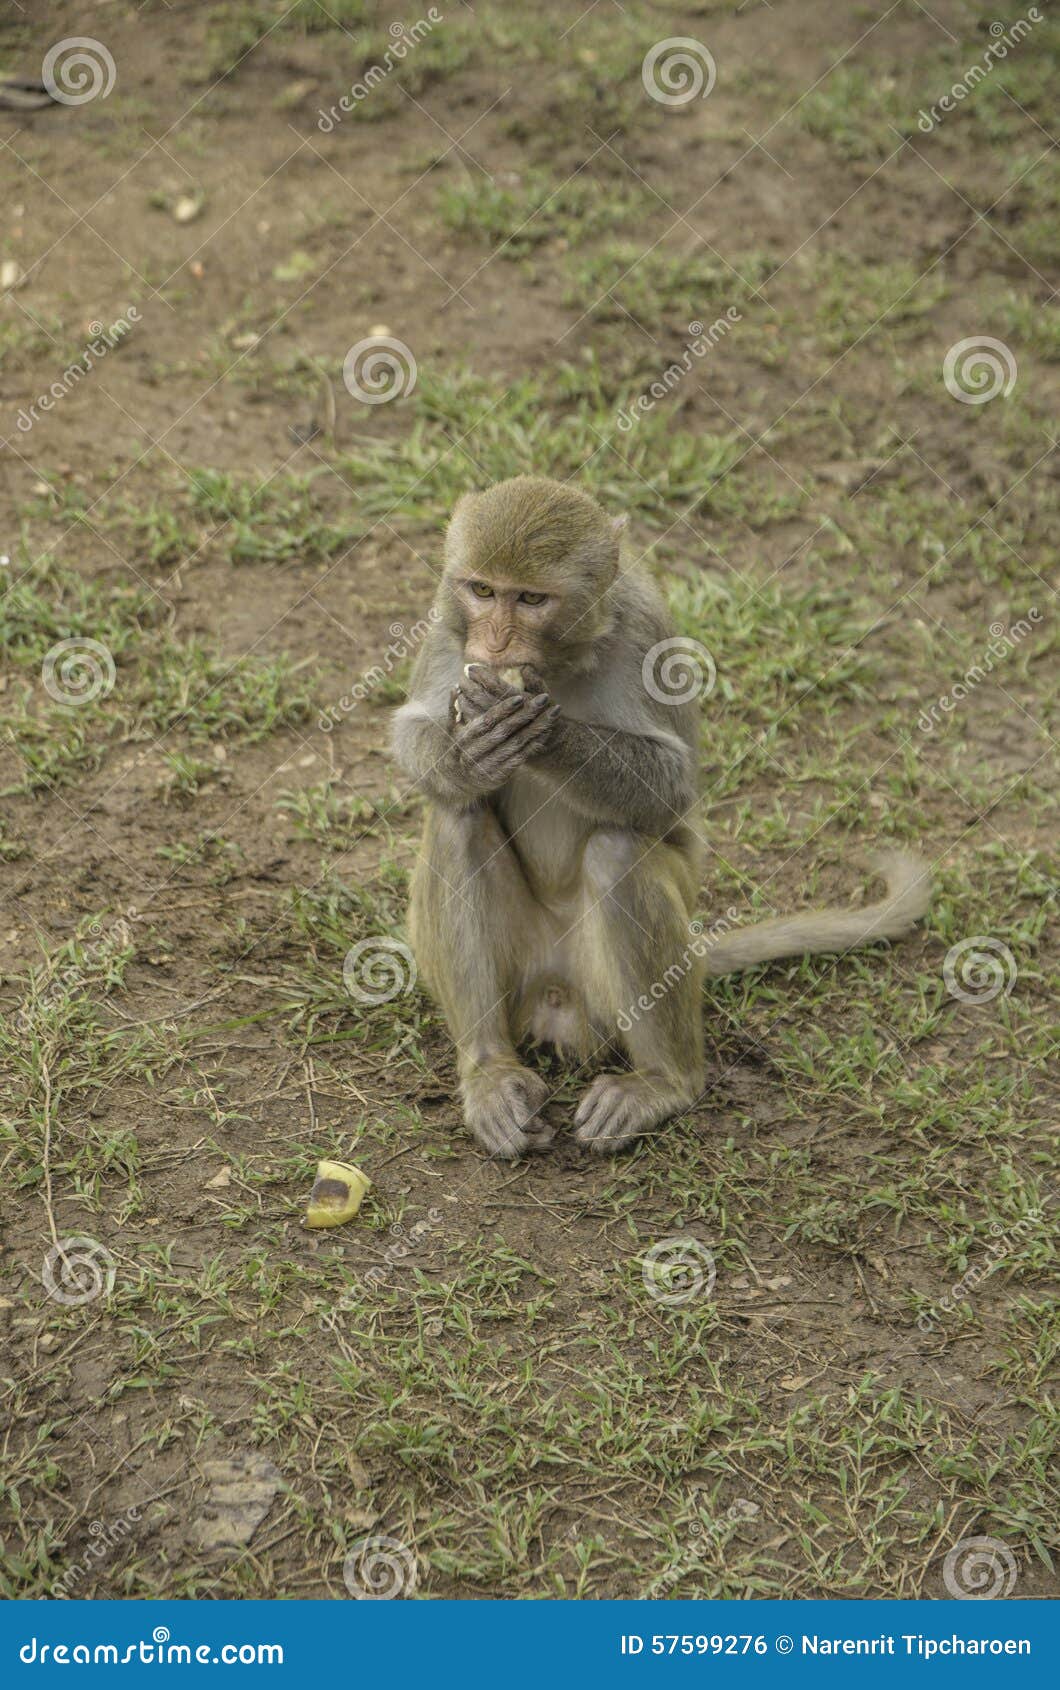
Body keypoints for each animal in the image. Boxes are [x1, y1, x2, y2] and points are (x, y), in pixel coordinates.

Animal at [391, 475, 930, 1160]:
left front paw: (546, 735)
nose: (495, 643)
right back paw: (490, 1069)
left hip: (606, 991)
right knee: (458, 819)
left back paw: (665, 1082)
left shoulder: (647, 631)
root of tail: (554, 998)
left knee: (617, 851)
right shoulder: (447, 622)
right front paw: (469, 752)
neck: (564, 659)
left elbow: (672, 787)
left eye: (531, 598)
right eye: (482, 590)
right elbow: (414, 734)